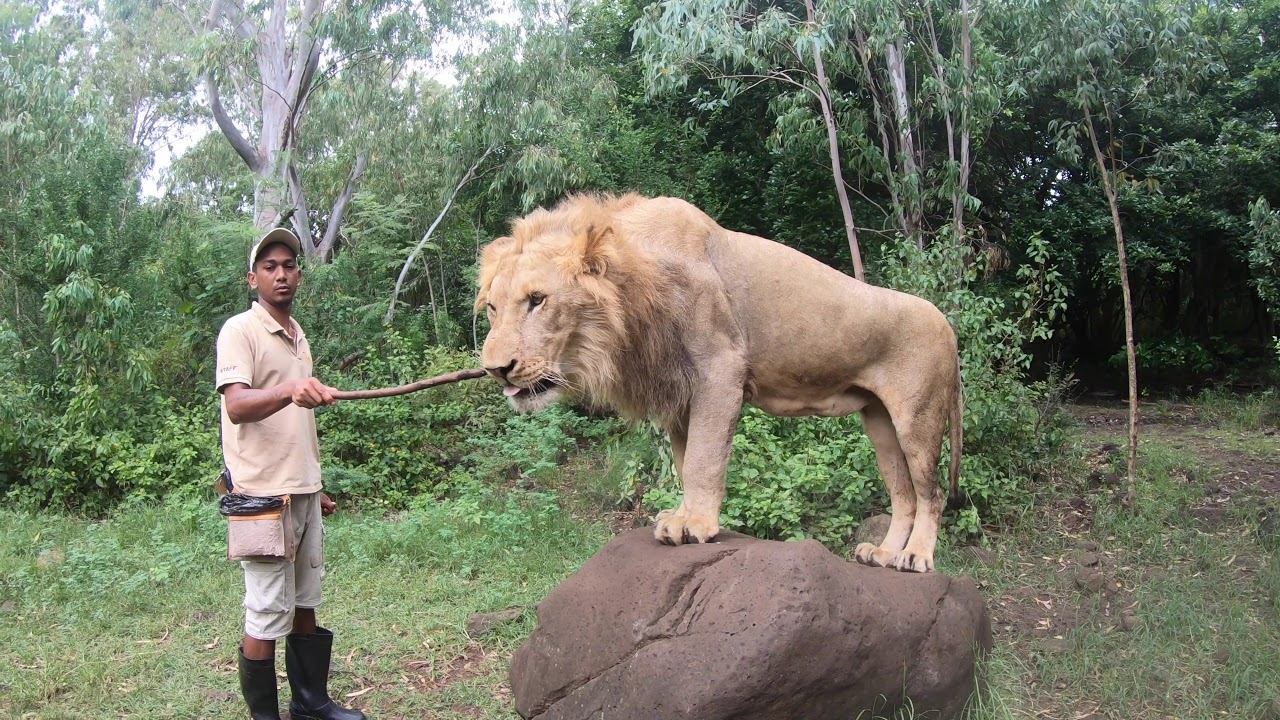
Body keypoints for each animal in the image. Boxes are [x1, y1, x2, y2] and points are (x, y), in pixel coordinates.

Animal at [474, 193, 963, 572]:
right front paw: (684, 515)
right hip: (879, 422)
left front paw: (695, 526)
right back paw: (883, 554)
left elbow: (703, 460)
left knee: (932, 493)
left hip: (917, 418)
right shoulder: (679, 391)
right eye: (493, 307)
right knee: (904, 494)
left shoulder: (720, 372)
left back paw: (916, 557)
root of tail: (949, 326)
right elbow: (685, 460)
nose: (497, 368)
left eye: (538, 300)